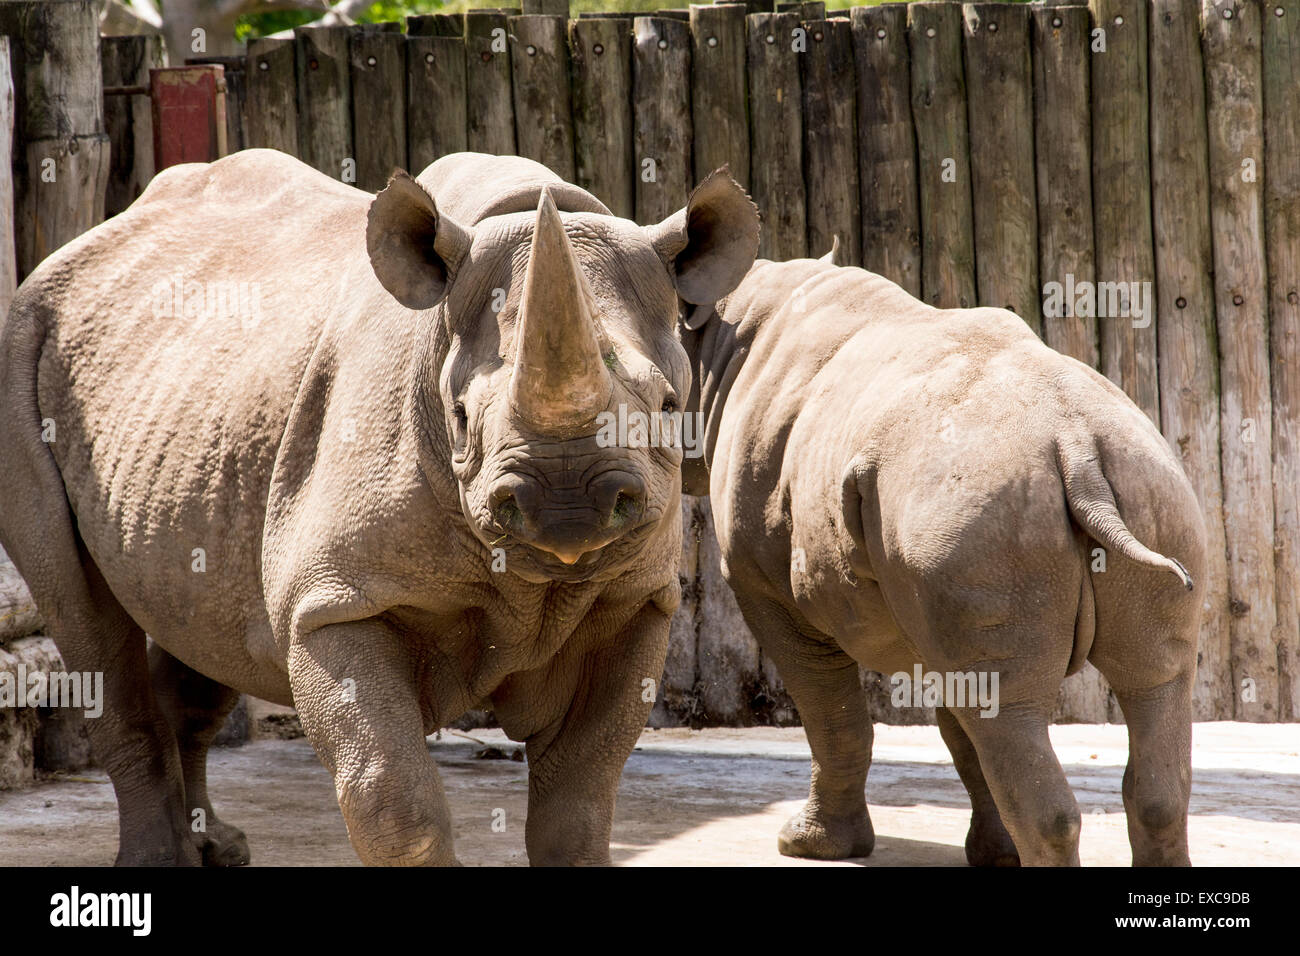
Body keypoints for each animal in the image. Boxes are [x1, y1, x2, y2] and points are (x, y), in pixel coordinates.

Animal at [0, 149, 759, 865]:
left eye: (670, 405)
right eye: (461, 416)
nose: (567, 506)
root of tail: (95, 237)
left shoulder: (635, 600)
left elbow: (581, 798)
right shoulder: (334, 601)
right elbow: (393, 795)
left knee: (198, 612)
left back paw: (219, 846)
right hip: (25, 338)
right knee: (87, 623)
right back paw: (160, 860)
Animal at [680, 249, 1206, 866]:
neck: (719, 337)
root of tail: (1074, 444)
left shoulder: (761, 582)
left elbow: (832, 714)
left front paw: (808, 846)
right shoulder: (926, 599)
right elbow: (962, 733)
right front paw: (995, 856)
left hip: (982, 515)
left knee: (1010, 714)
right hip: (1143, 486)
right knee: (1153, 683)